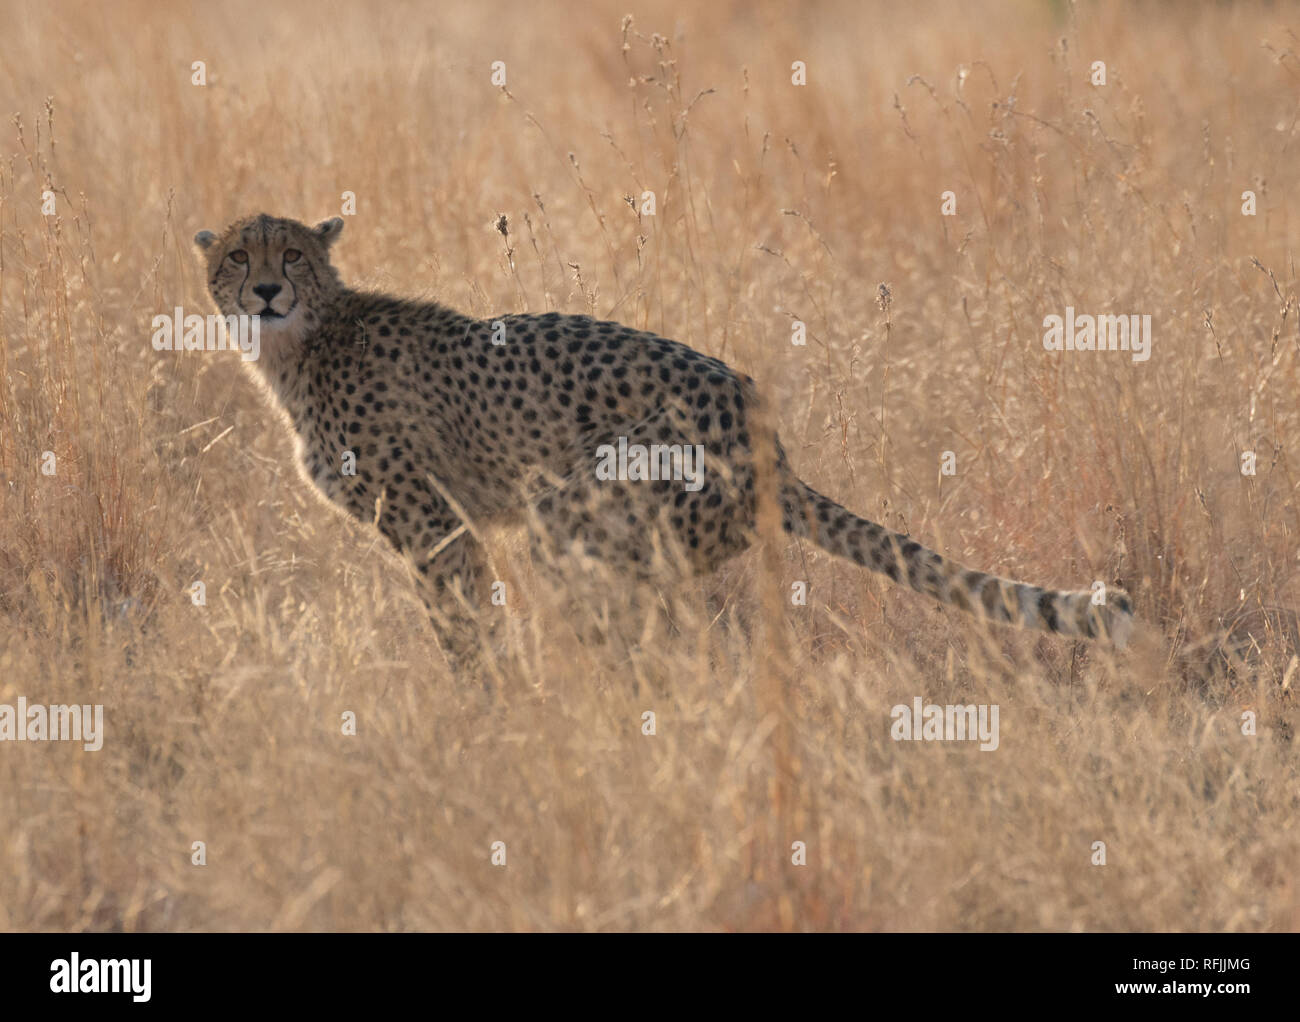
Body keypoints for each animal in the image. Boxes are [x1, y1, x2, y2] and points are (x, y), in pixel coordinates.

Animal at [193, 213, 1134, 668]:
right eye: (239, 255)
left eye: (291, 254)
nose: (268, 289)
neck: (301, 342)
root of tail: (767, 433)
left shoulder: (434, 525)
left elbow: (464, 626)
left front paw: (485, 705)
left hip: (585, 510)